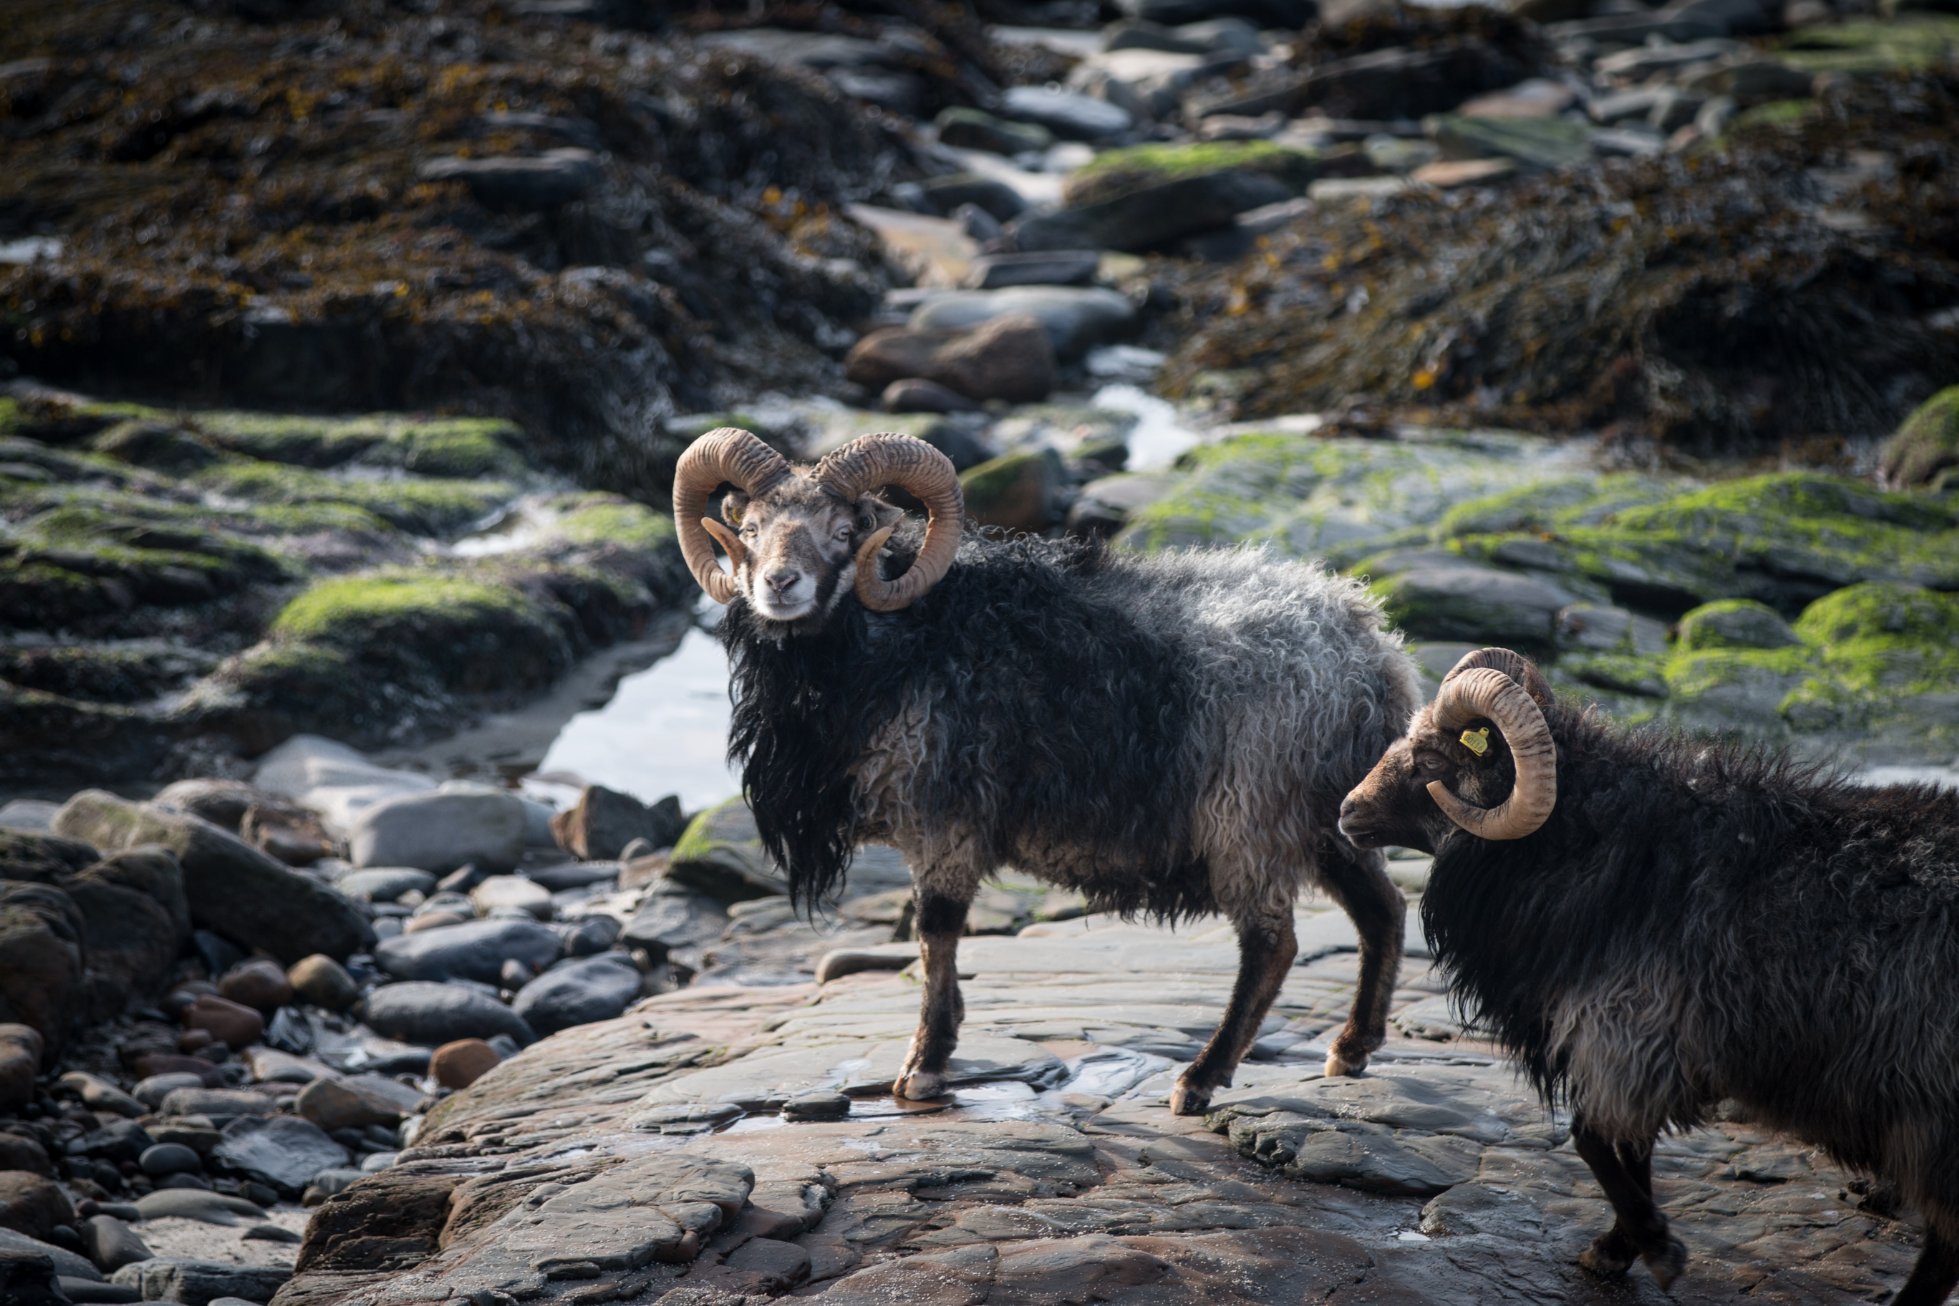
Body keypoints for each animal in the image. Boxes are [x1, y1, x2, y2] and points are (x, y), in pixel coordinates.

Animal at [671, 426, 1424, 1114]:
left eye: (844, 530)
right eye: (751, 527)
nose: (778, 584)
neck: (904, 637)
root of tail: (1370, 656)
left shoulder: (944, 821)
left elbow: (935, 933)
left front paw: (926, 1066)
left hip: (1249, 817)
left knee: (1273, 944)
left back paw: (1201, 1079)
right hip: (1327, 817)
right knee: (1382, 909)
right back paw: (1351, 1048)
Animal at [1337, 645, 1959, 1304]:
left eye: (1431, 760)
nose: (1347, 810)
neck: (1587, 842)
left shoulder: (1630, 1032)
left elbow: (1592, 1139)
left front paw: (1655, 1247)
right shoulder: (1634, 1040)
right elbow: (1626, 1151)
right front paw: (1617, 1247)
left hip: (1931, 1116)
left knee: (1946, 1241)